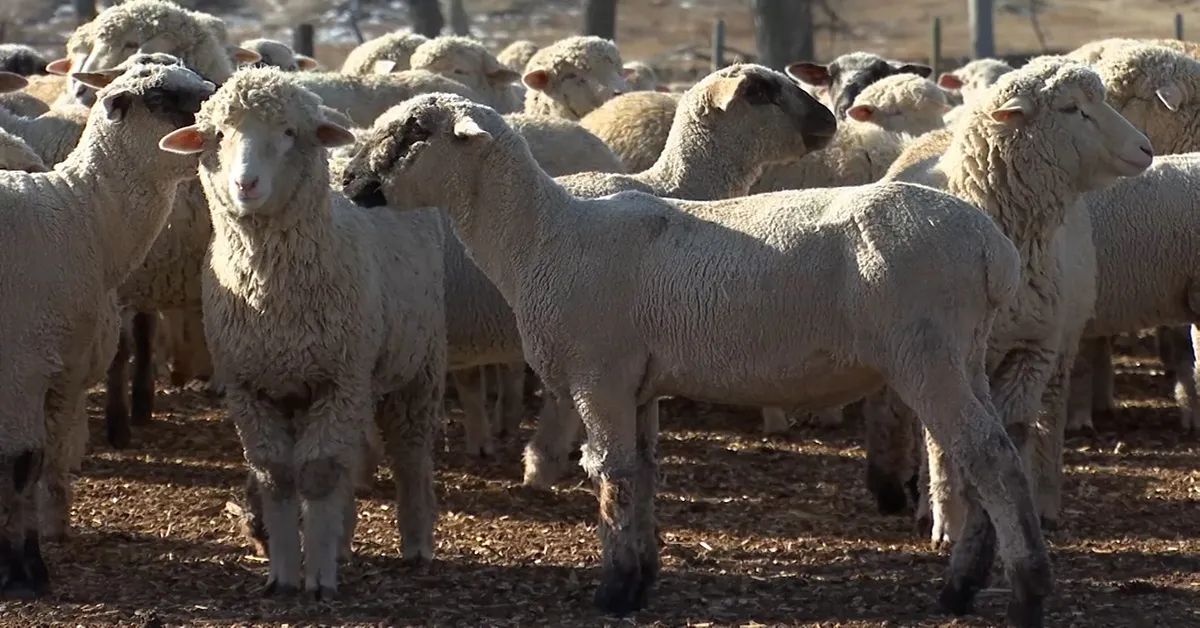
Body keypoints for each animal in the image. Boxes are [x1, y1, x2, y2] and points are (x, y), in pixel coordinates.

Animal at [0, 58, 213, 597]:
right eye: (159, 98)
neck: (83, 217)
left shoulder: (62, 372)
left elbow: (39, 462)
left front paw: (28, 562)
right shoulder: (21, 366)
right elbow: (21, 465)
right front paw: (19, 573)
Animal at [159, 67, 444, 597]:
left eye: (290, 132)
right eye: (219, 135)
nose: (245, 183)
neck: (273, 299)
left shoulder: (337, 380)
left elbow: (317, 473)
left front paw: (320, 578)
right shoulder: (250, 388)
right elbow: (277, 476)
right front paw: (286, 574)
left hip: (417, 363)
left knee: (410, 450)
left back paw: (416, 544)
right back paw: (344, 541)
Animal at [341, 91, 1050, 626]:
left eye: (414, 131)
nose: (348, 181)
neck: (538, 237)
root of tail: (991, 247)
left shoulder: (599, 375)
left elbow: (611, 476)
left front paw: (613, 592)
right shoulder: (638, 384)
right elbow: (643, 473)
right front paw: (641, 578)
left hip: (925, 352)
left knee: (989, 457)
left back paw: (1022, 591)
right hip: (968, 352)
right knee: (993, 450)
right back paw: (967, 585)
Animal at [873, 56, 1153, 543]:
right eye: (1071, 108)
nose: (1145, 148)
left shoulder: (1033, 348)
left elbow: (1013, 432)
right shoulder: (944, 352)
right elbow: (944, 442)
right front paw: (949, 521)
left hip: (1062, 343)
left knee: (1050, 419)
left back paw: (1046, 502)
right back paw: (929, 504)